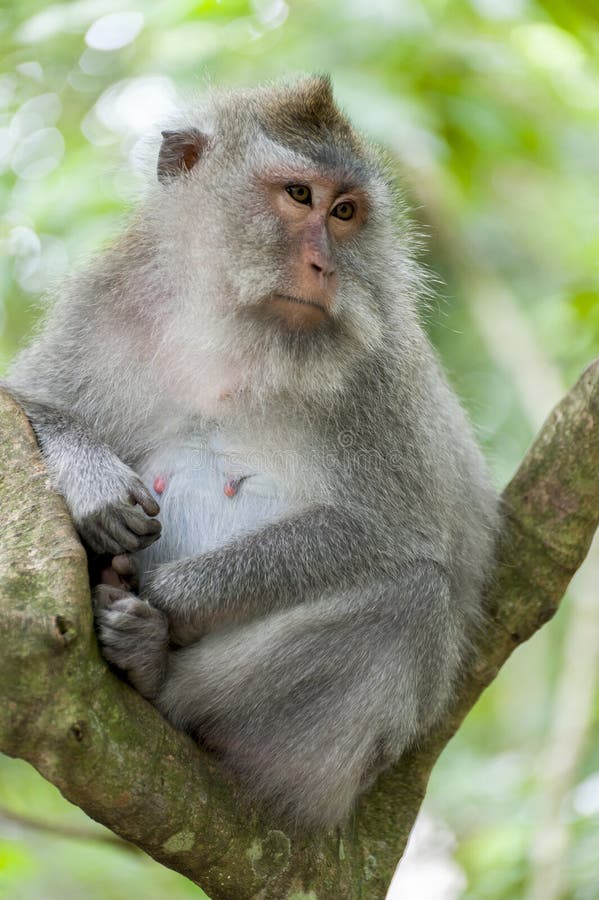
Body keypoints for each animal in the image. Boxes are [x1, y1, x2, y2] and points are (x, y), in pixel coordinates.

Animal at [5, 76, 500, 830]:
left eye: (346, 212)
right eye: (298, 195)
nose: (324, 265)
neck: (237, 334)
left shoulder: (379, 367)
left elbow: (393, 530)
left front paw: (162, 594)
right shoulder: (111, 300)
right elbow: (26, 400)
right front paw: (97, 490)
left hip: (326, 759)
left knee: (409, 596)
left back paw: (155, 668)